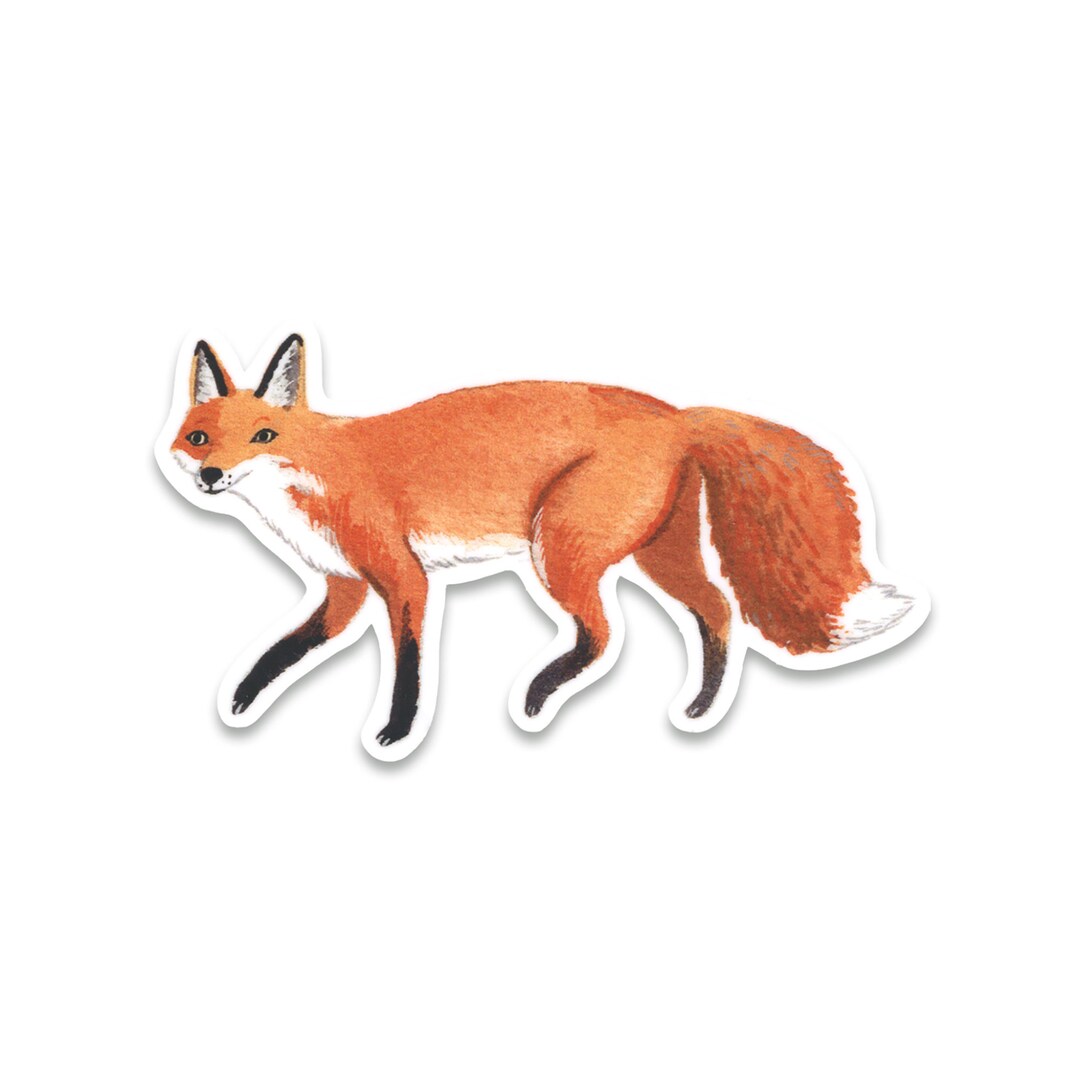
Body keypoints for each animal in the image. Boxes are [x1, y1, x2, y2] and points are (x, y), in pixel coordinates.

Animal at [157, 329, 929, 761]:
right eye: (198, 437)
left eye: (263, 436)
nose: (211, 475)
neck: (319, 469)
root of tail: (677, 414)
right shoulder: (344, 588)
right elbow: (283, 651)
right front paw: (241, 702)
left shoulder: (403, 578)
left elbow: (408, 665)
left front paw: (397, 734)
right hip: (655, 553)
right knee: (716, 610)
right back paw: (700, 711)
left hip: (556, 549)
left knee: (605, 635)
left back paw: (537, 698)